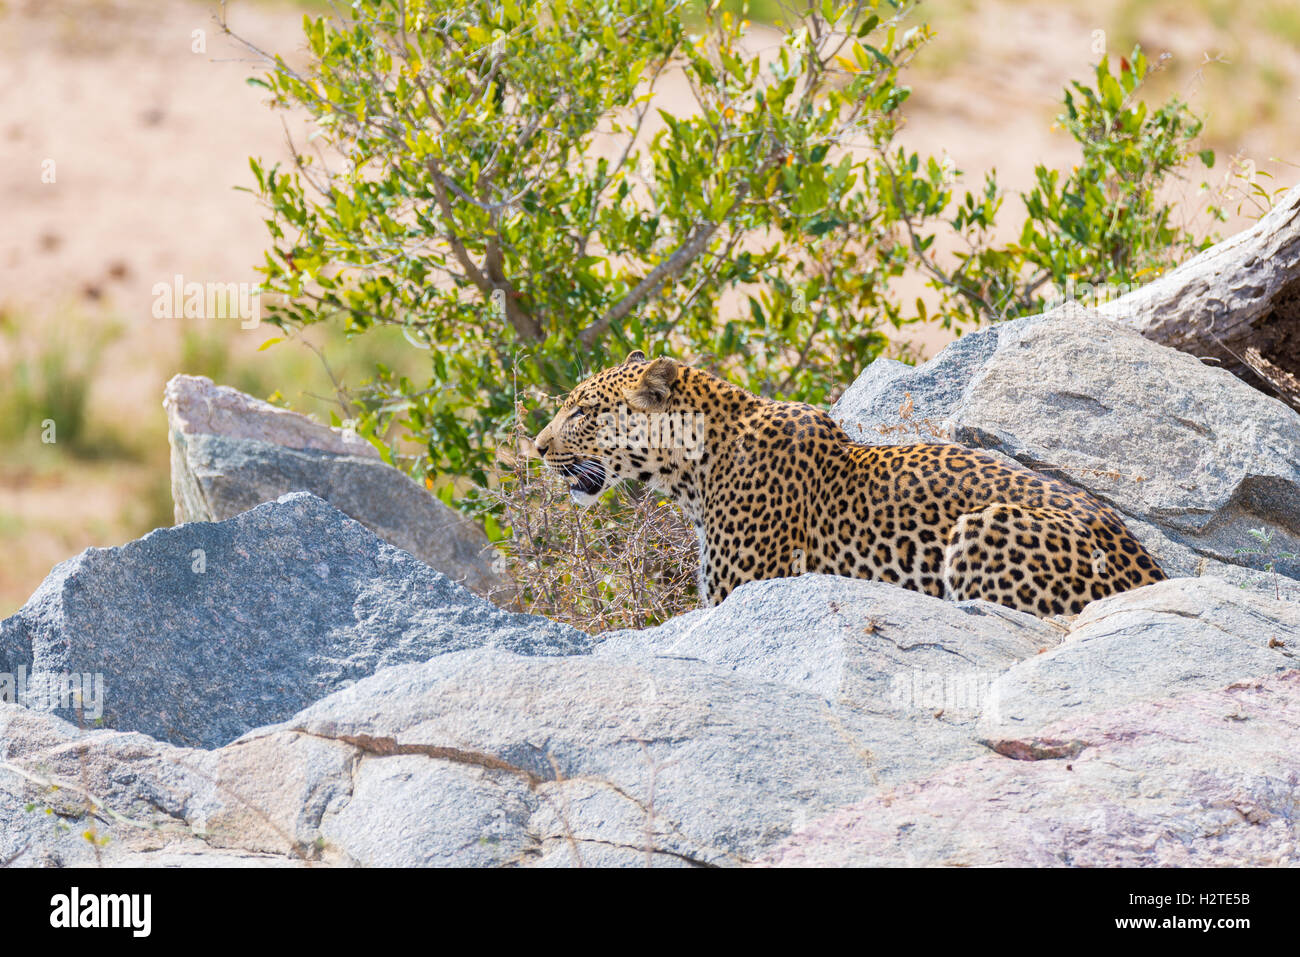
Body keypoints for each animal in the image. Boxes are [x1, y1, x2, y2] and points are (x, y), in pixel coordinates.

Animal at [533, 350, 1167, 617]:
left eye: (583, 411)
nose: (536, 448)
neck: (693, 468)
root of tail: (1150, 570)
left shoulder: (744, 587)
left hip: (986, 526)